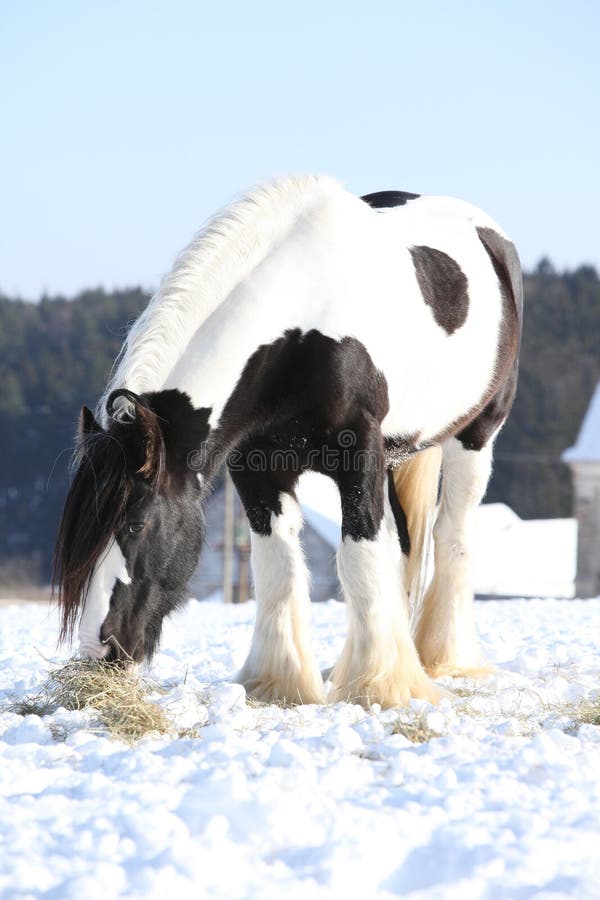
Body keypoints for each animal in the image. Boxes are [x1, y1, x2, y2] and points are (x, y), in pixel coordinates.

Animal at [54, 175, 522, 708]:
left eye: (135, 525)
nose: (100, 651)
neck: (301, 326)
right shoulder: (256, 466)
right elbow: (277, 563)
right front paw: (280, 682)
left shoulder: (358, 453)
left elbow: (359, 557)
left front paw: (379, 687)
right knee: (403, 545)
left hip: (476, 435)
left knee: (451, 536)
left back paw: (443, 661)